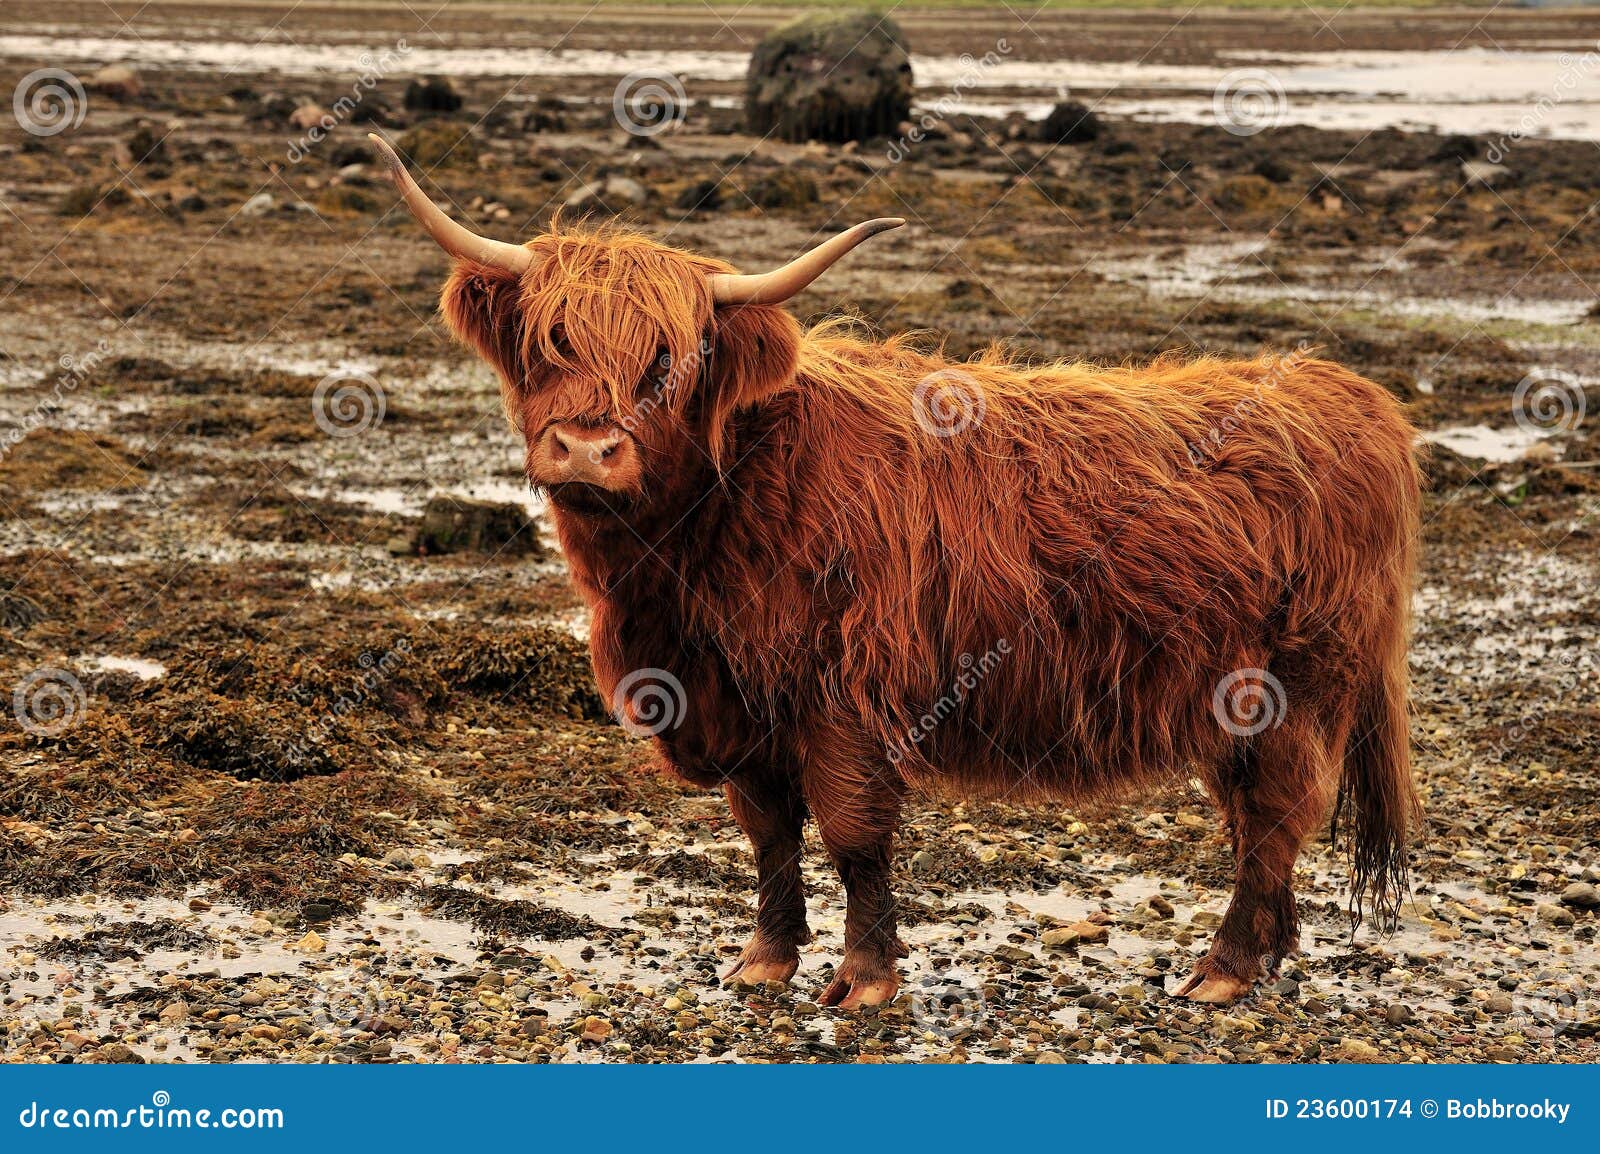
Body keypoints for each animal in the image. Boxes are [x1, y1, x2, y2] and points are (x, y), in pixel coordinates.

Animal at [370, 133, 1421, 1008]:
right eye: (548, 343)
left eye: (671, 358)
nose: (587, 450)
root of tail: (1346, 390)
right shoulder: (741, 702)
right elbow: (768, 833)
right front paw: (765, 962)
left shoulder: (846, 694)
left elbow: (851, 834)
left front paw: (865, 977)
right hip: (1237, 702)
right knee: (1256, 821)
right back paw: (1267, 951)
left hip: (1298, 687)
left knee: (1279, 813)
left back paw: (1224, 968)